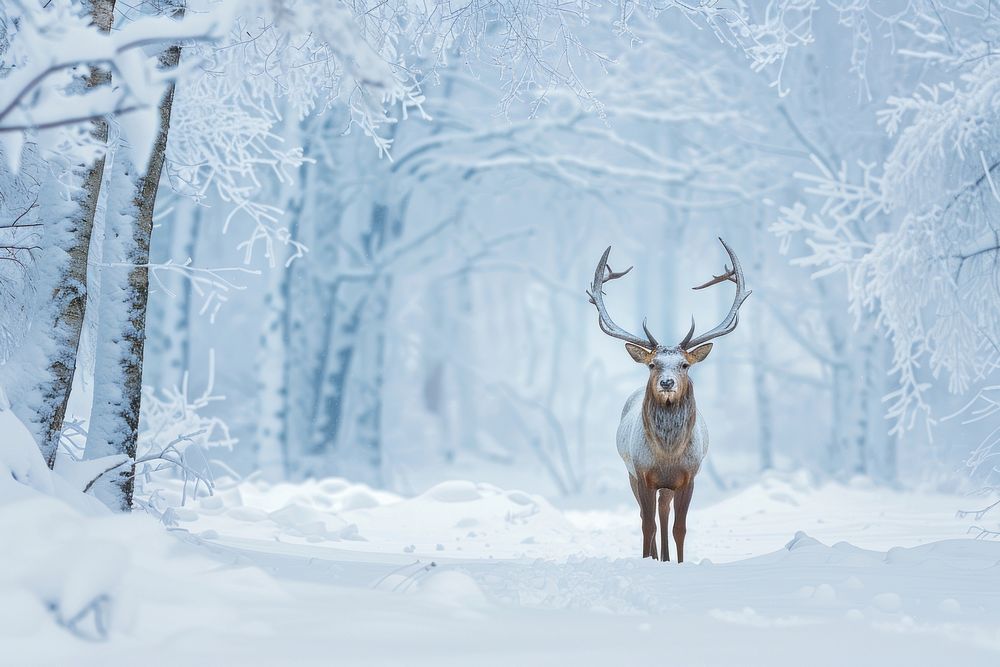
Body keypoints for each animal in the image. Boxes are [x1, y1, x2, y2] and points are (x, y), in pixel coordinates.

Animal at [586, 238, 750, 563]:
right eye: (653, 364)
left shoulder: (689, 475)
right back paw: (657, 555)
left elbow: (679, 528)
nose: (666, 382)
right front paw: (648, 558)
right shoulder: (642, 473)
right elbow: (646, 524)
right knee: (649, 514)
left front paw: (679, 561)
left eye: (684, 365)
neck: (667, 455)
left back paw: (665, 556)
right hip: (632, 474)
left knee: (665, 511)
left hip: (669, 485)